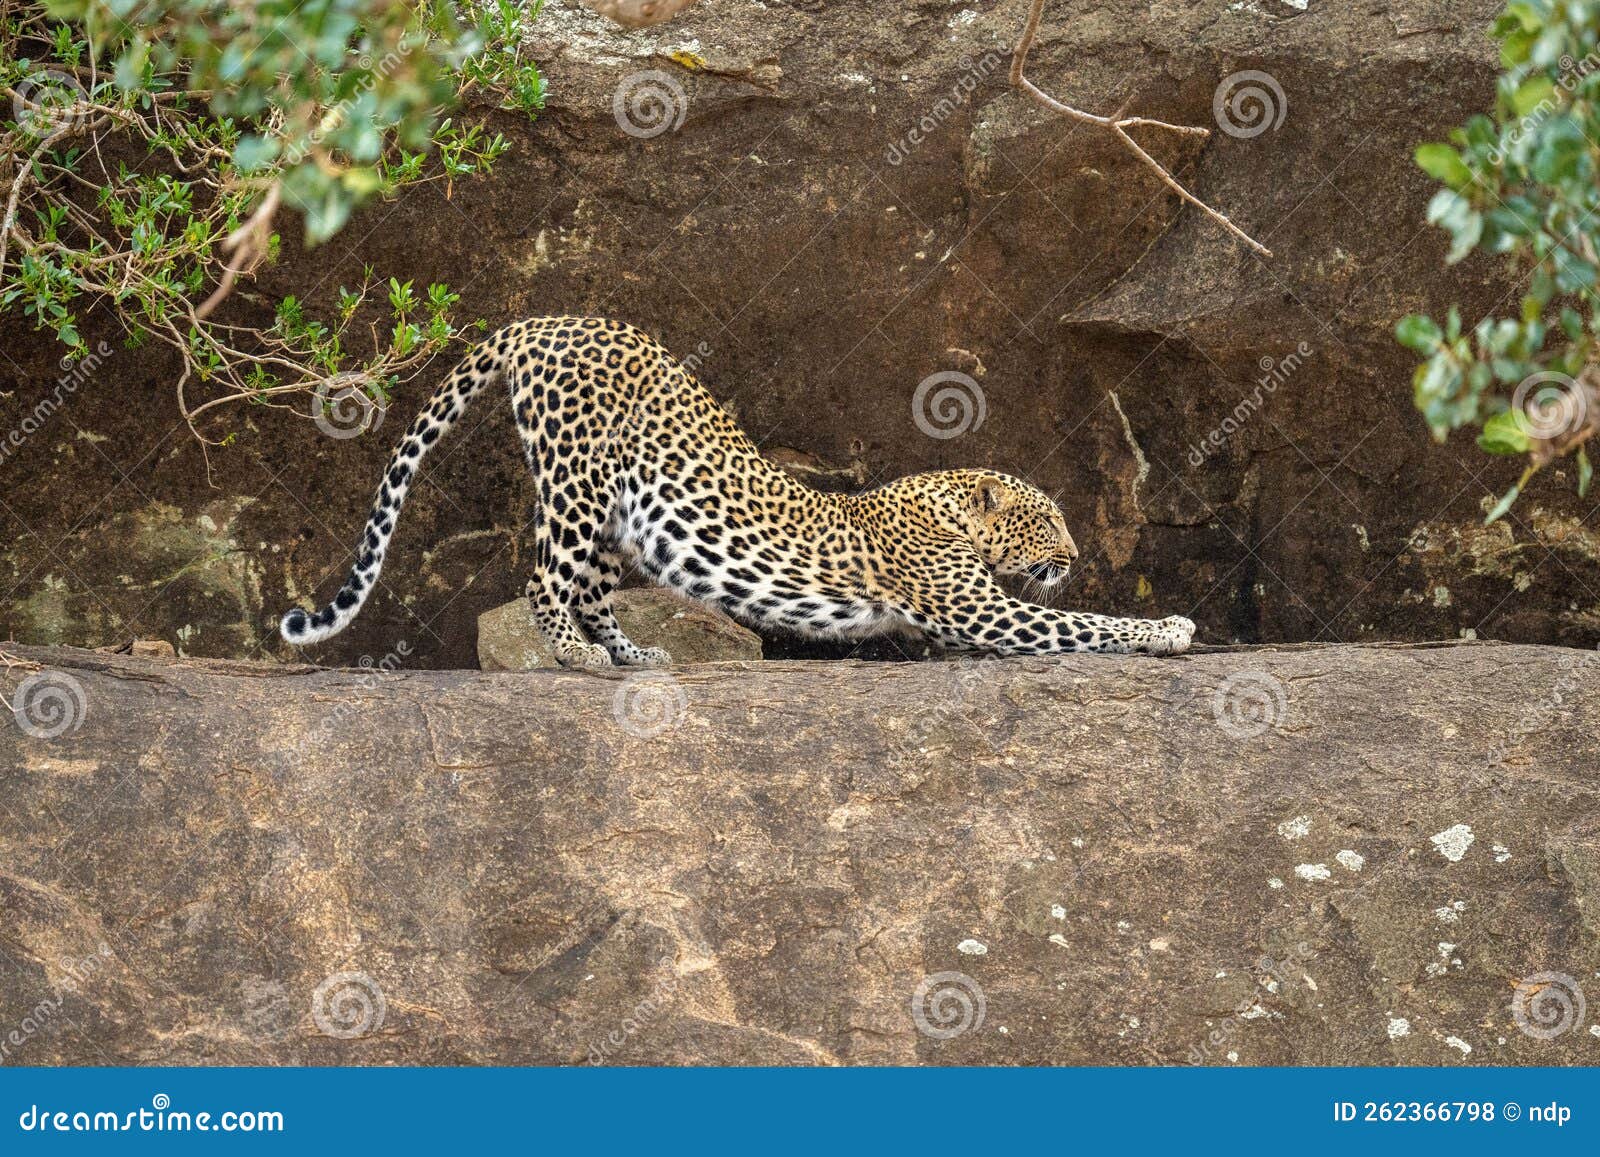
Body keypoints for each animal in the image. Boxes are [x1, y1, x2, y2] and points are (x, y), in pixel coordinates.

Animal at [279, 316, 1196, 664]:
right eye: (1047, 520)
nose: (1073, 553)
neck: (941, 508)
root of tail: (544, 320)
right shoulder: (982, 610)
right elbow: (1087, 623)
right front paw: (1171, 628)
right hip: (576, 481)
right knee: (543, 578)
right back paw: (573, 656)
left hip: (617, 512)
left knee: (594, 587)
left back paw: (633, 655)